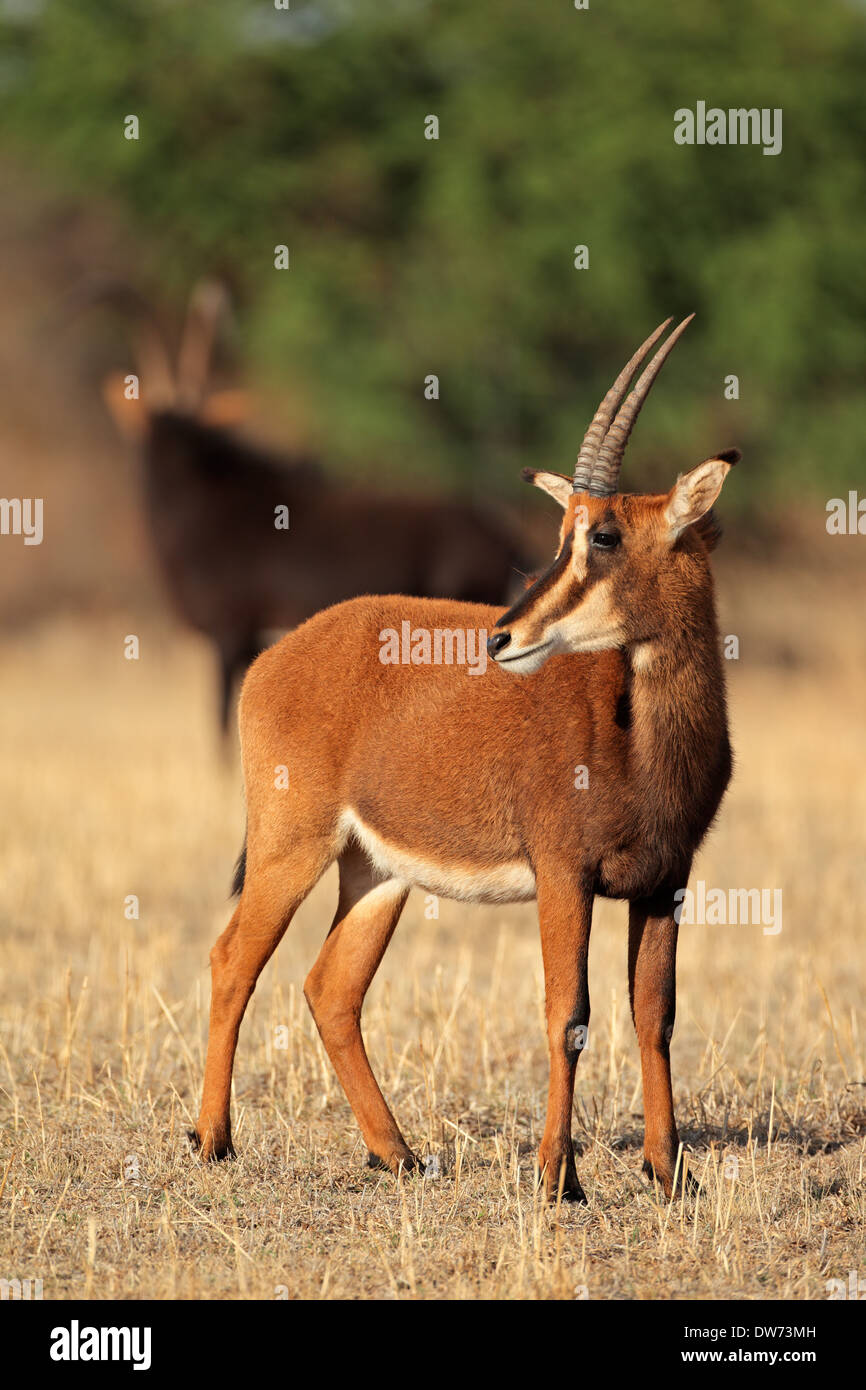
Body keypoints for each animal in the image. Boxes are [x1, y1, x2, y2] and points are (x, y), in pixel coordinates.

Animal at [95, 280, 530, 732]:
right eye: (152, 435)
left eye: (185, 434)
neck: (208, 501)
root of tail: (504, 537)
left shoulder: (229, 636)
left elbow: (221, 726)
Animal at [192, 316, 738, 1203]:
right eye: (564, 532)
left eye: (605, 534)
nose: (504, 637)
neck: (639, 733)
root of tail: (272, 660)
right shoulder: (565, 872)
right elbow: (569, 1013)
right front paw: (559, 1178)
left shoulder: (667, 879)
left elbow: (654, 1015)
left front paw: (669, 1173)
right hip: (292, 847)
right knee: (233, 958)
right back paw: (213, 1139)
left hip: (377, 874)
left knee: (330, 988)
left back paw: (398, 1154)